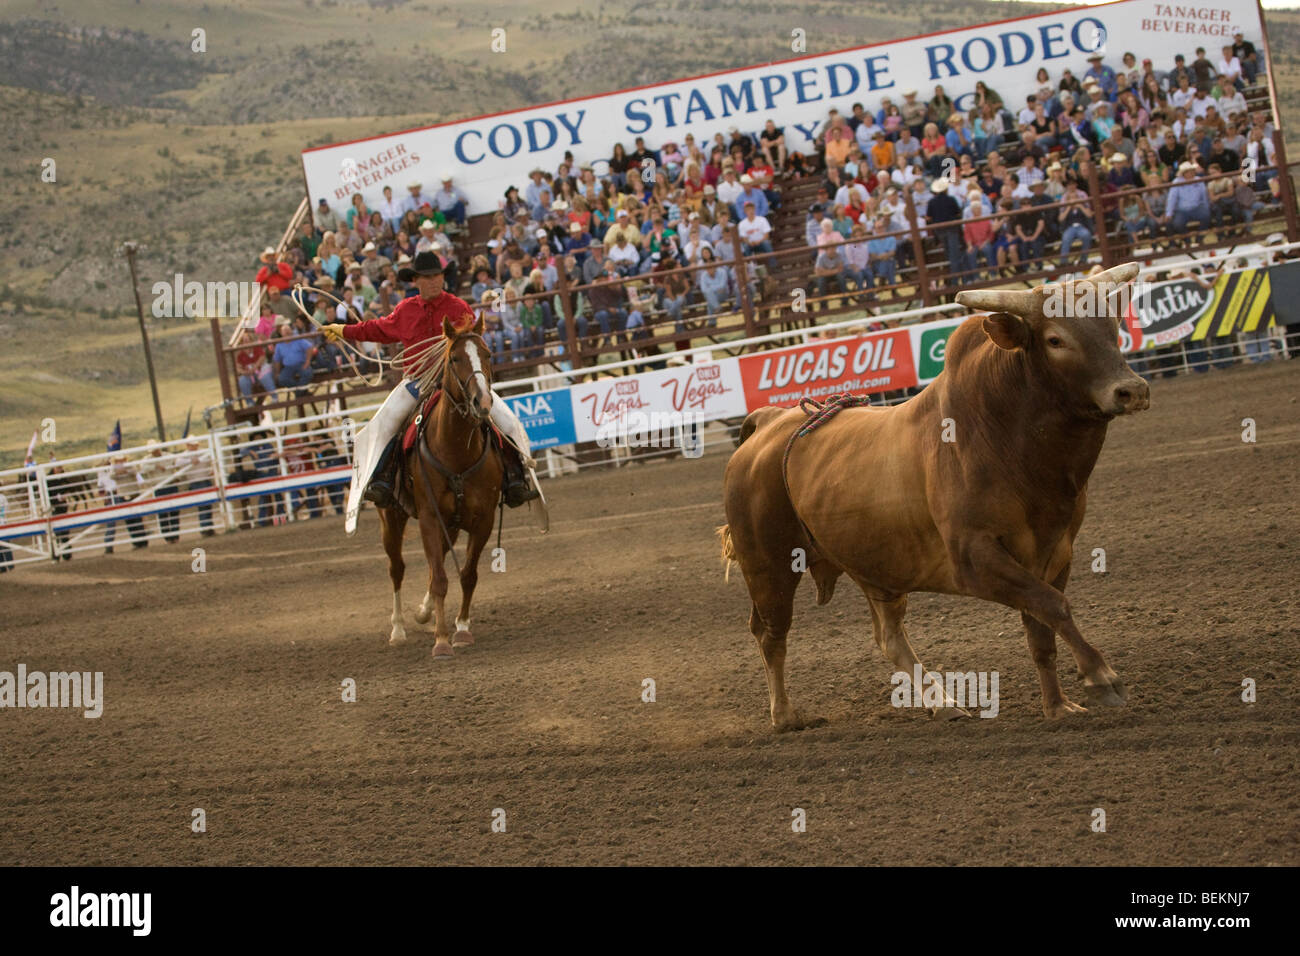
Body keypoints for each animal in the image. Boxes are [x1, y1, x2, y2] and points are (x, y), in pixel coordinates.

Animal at [718, 262, 1149, 731]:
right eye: (1055, 339)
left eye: (1112, 327)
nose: (1131, 390)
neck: (1001, 430)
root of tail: (768, 423)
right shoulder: (974, 559)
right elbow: (1053, 606)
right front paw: (1102, 677)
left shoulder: (1053, 554)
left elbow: (1041, 626)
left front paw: (1057, 706)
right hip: (770, 567)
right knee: (770, 632)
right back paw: (784, 715)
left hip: (872, 565)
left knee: (888, 636)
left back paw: (940, 700)